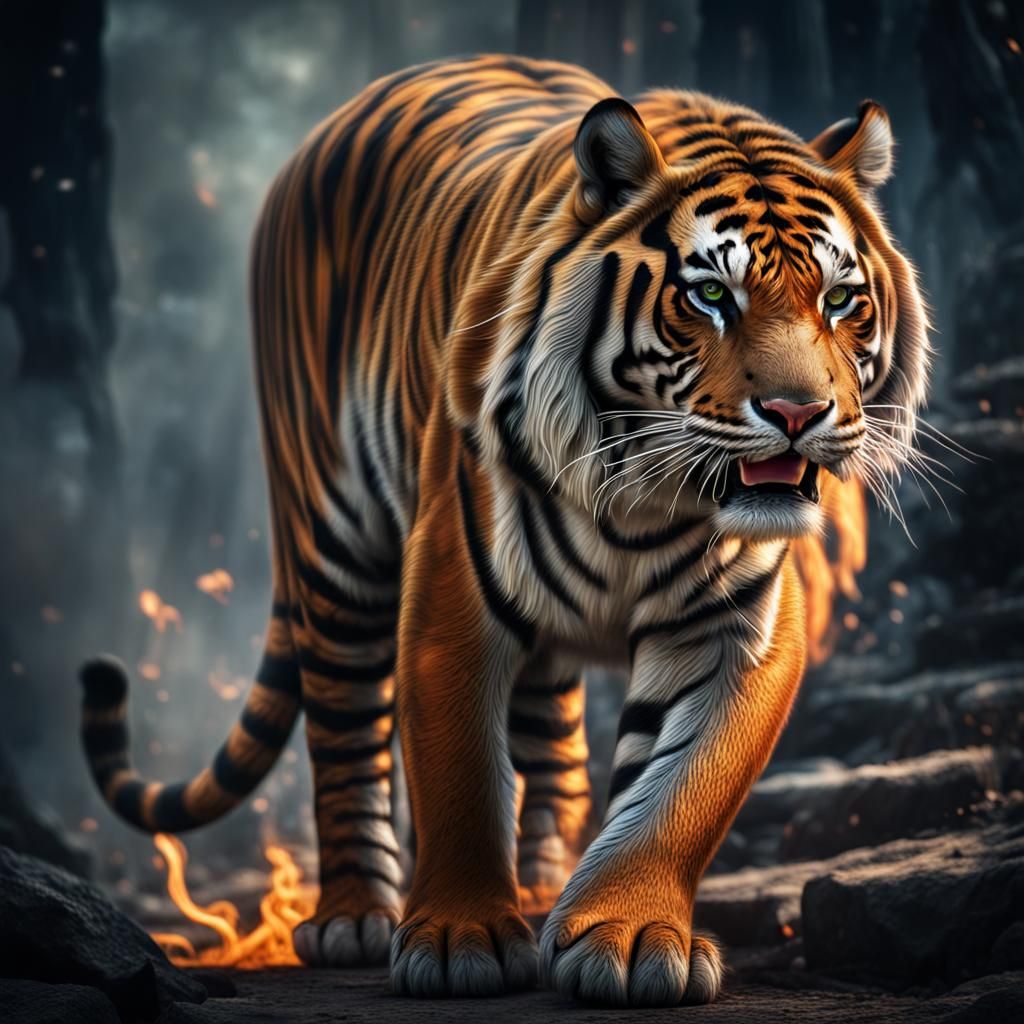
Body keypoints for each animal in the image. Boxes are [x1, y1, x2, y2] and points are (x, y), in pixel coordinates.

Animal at [80, 55, 928, 1006]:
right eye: (711, 294)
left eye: (841, 300)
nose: (797, 414)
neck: (644, 498)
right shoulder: (455, 590)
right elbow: (459, 773)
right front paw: (462, 940)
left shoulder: (731, 630)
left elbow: (679, 790)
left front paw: (628, 933)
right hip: (334, 542)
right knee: (344, 732)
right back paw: (353, 918)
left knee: (550, 747)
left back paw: (538, 890)